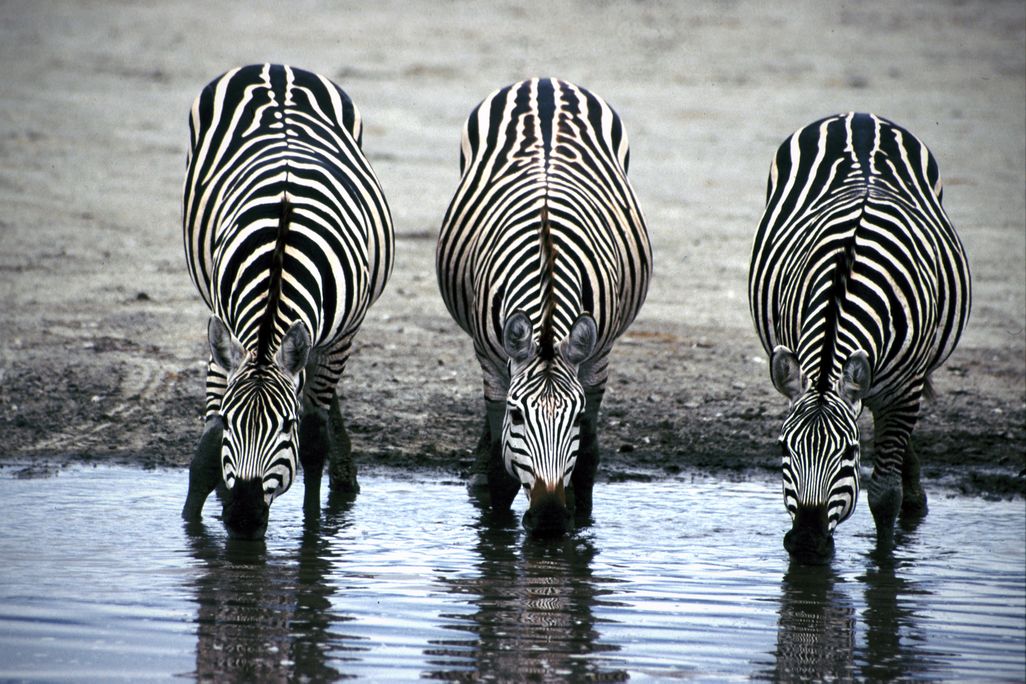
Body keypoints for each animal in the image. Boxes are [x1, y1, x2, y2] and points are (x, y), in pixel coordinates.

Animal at [180, 64, 393, 539]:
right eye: (231, 421)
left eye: (286, 426)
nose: (243, 517)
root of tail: (276, 67)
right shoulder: (224, 326)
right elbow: (207, 447)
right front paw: (194, 524)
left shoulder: (340, 338)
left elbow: (313, 441)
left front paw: (314, 533)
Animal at [437, 78, 651, 535]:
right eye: (518, 416)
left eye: (574, 417)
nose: (550, 518)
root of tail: (546, 82)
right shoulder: (490, 357)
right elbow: (501, 461)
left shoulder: (598, 355)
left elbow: (587, 457)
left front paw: (578, 520)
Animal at [749, 112, 971, 561]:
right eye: (782, 448)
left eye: (850, 453)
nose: (807, 543)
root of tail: (858, 116)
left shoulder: (904, 390)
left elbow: (884, 496)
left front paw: (884, 562)